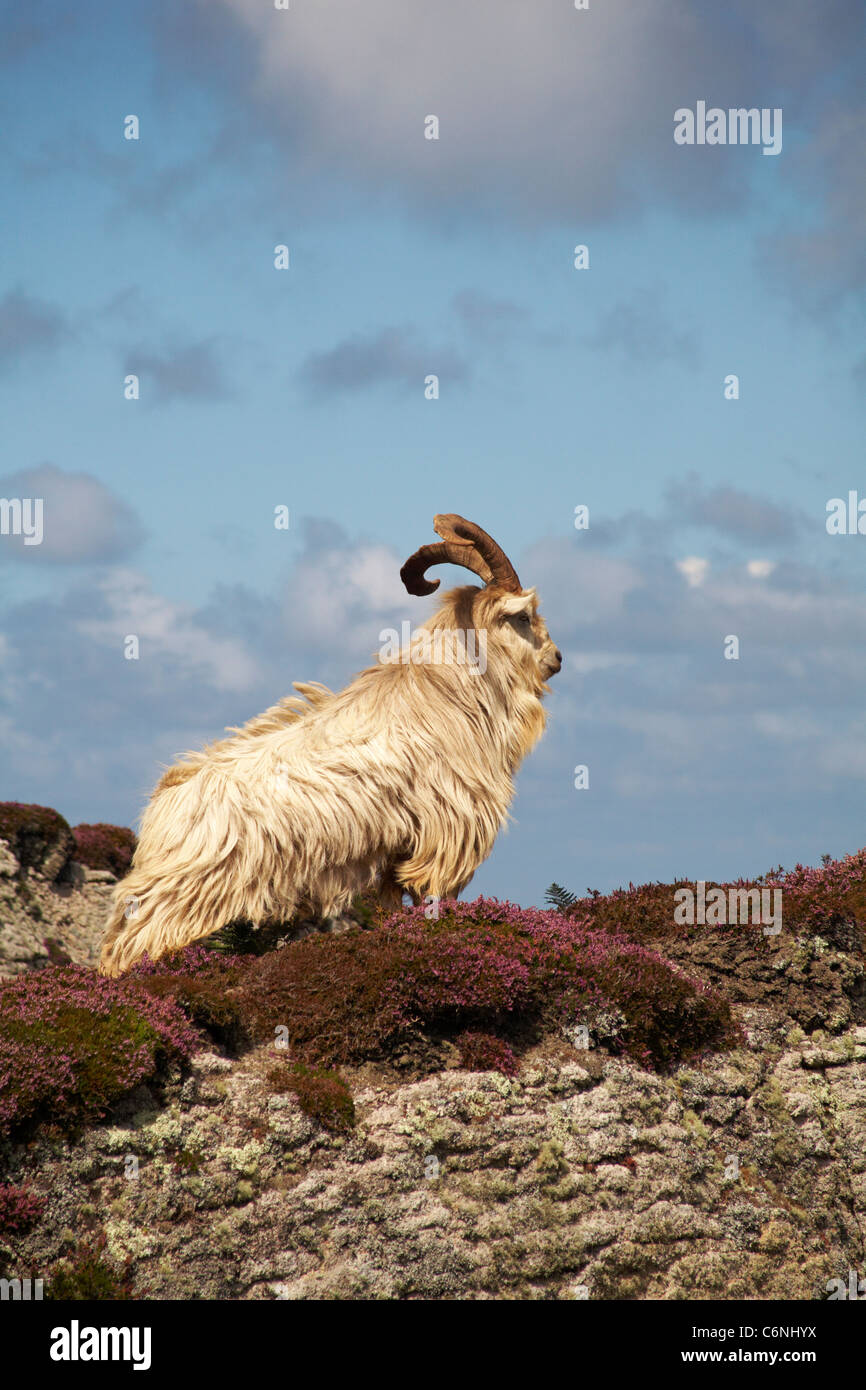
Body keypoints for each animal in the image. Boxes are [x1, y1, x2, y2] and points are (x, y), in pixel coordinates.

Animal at [99, 515, 562, 975]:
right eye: (523, 616)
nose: (556, 658)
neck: (448, 692)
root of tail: (161, 807)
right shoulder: (448, 831)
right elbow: (433, 896)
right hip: (182, 891)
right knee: (132, 943)